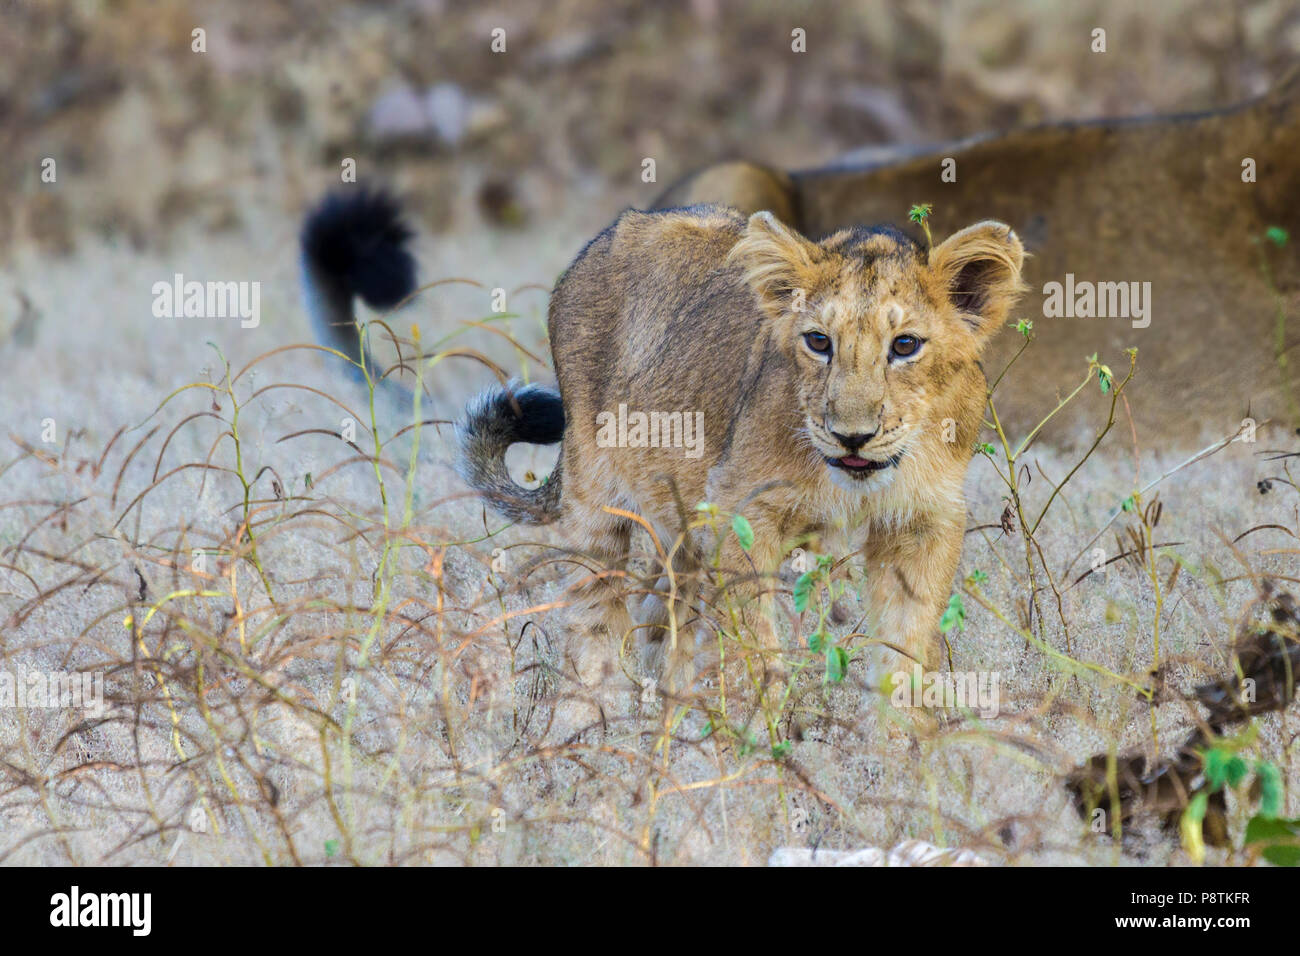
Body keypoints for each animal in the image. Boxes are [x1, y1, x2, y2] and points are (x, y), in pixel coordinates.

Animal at [455, 204, 1026, 693]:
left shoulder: (926, 521)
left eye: (905, 345)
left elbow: (905, 647)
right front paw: (765, 736)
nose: (852, 436)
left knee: (659, 615)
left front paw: (902, 743)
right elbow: (756, 643)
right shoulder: (740, 511)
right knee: (595, 613)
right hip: (594, 494)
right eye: (819, 342)